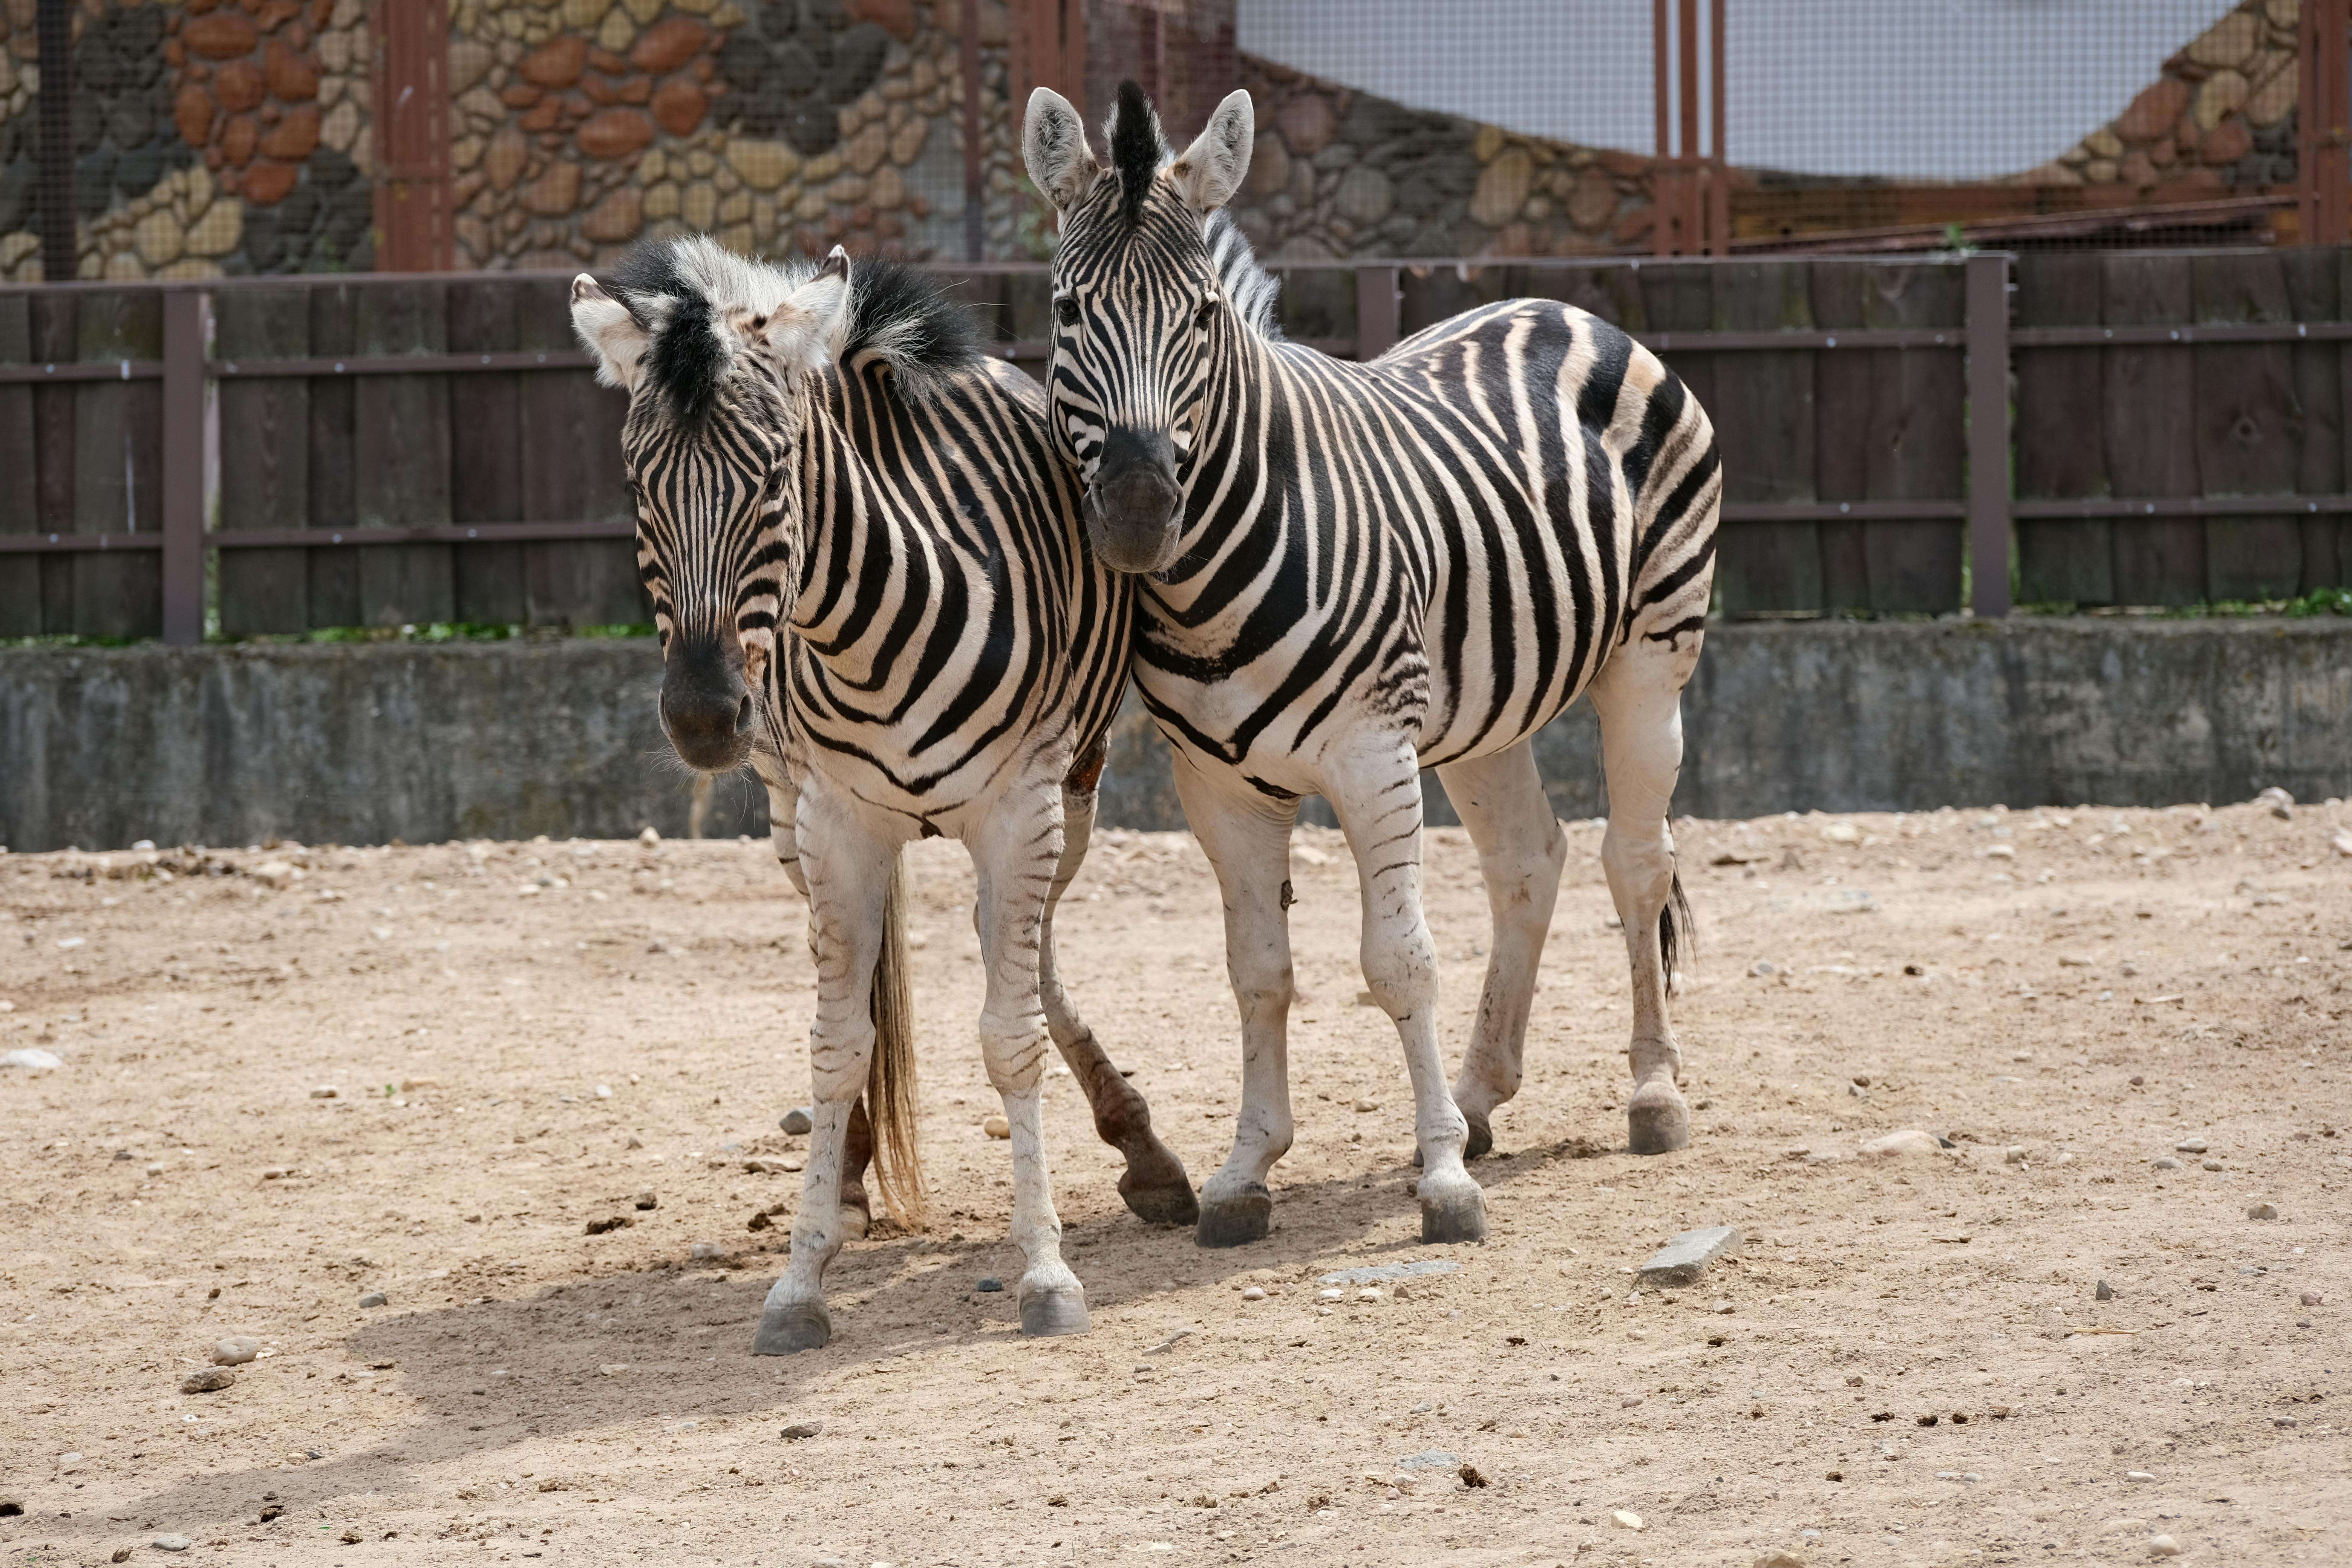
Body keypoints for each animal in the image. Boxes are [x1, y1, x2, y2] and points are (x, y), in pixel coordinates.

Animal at [569, 236, 1199, 1350]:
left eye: (775, 477)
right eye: (640, 483)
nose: (702, 716)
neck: (864, 638)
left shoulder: (1021, 809)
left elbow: (1010, 1036)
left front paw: (1046, 1272)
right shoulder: (830, 823)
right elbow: (833, 1042)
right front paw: (800, 1277)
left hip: (1071, 795)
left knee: (1033, 963)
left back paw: (1143, 1151)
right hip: (790, 814)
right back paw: (854, 1173)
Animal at [1022, 84, 1723, 1248]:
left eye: (1202, 317)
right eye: (1068, 313)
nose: (1135, 509)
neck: (1207, 585)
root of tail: (1562, 309)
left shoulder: (1371, 756)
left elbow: (1397, 960)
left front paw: (1441, 1180)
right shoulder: (1216, 787)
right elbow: (1258, 974)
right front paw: (1243, 1174)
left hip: (1650, 654)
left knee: (1637, 859)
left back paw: (1653, 1094)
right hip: (1485, 706)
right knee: (1530, 861)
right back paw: (1481, 1098)